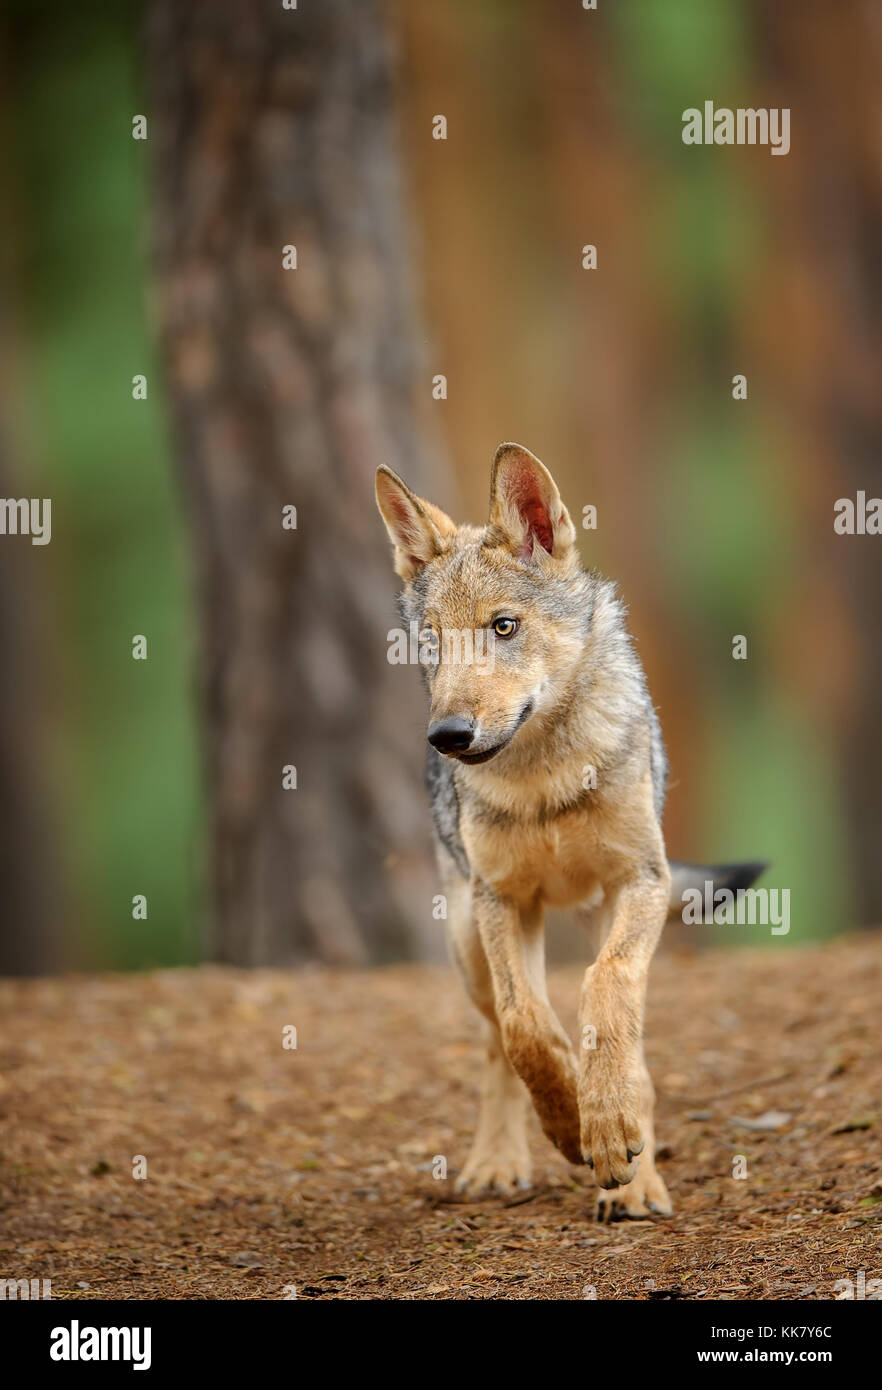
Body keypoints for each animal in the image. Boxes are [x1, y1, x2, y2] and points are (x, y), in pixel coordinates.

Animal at [376, 443, 765, 1220]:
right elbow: (526, 1028)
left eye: (503, 627)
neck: (545, 780)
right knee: (497, 1038)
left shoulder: (640, 880)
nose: (447, 736)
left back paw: (634, 1172)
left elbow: (606, 992)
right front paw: (566, 1121)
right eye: (433, 641)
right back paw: (499, 1162)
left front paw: (612, 1135)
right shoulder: (503, 901)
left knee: (625, 1033)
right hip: (466, 940)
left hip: (607, 913)